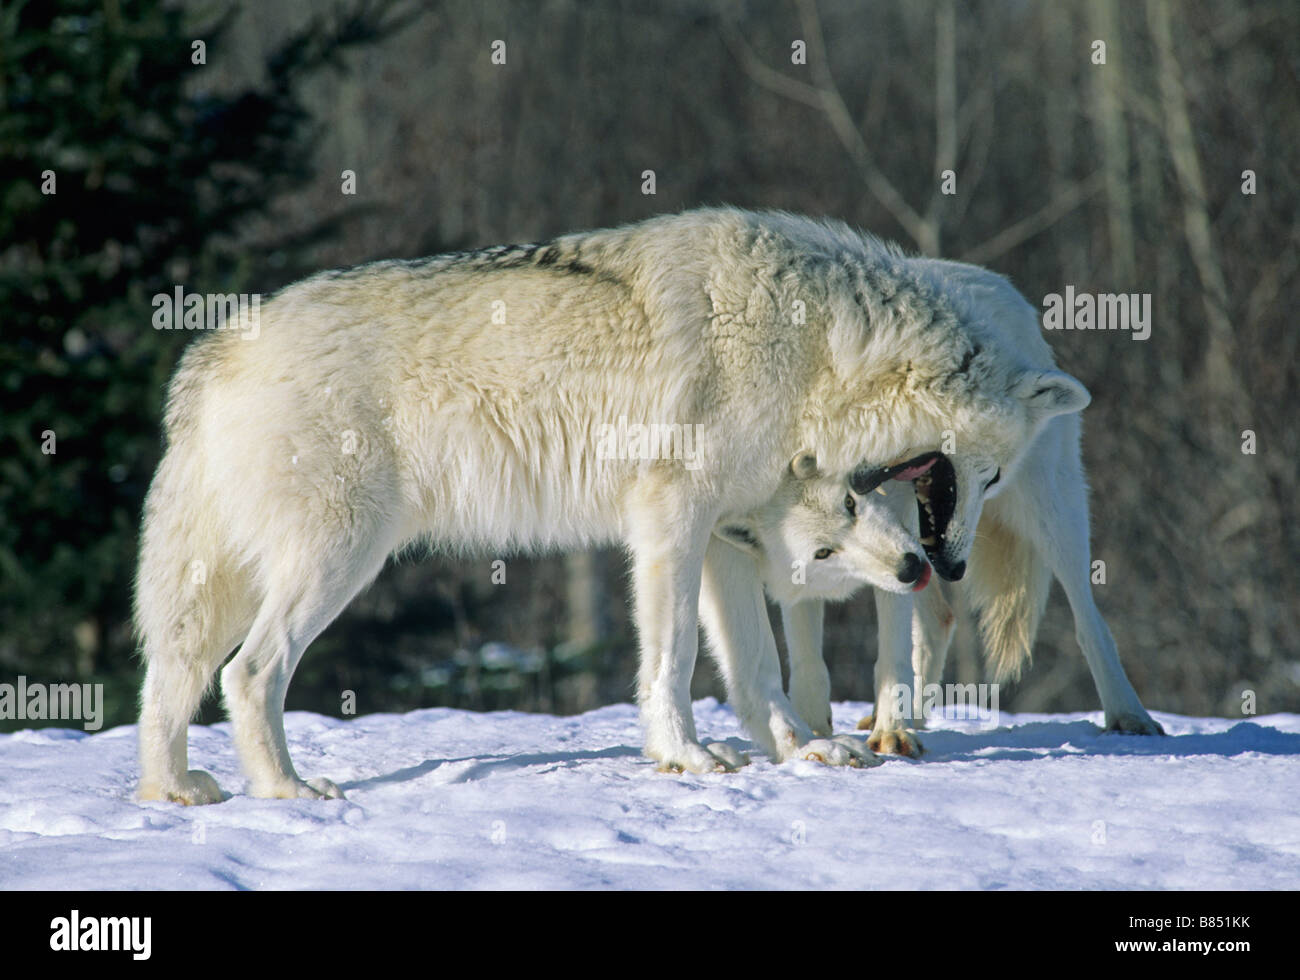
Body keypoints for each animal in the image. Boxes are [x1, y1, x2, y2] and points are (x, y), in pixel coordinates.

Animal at [134, 206, 1086, 800]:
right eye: (987, 475)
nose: (945, 564)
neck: (815, 346)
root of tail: (214, 348)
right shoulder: (672, 519)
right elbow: (672, 658)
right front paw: (684, 757)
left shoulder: (728, 538)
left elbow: (757, 669)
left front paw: (802, 750)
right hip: (339, 560)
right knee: (249, 674)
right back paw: (290, 790)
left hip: (231, 583)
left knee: (172, 675)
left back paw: (177, 792)